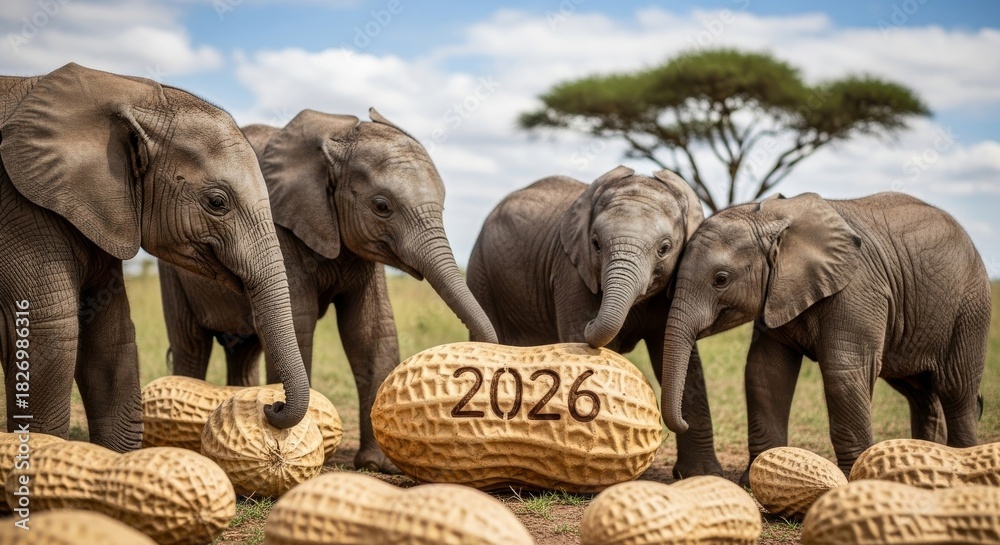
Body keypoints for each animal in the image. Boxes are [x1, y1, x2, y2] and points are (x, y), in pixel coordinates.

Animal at [0, 63, 309, 451]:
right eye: (217, 203)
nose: (273, 406)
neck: (130, 94)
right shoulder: (19, 209)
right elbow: (52, 330)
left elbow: (112, 332)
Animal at [159, 108, 497, 472]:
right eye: (382, 206)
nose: (272, 407)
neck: (336, 139)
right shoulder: (279, 229)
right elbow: (299, 324)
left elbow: (369, 331)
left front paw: (378, 465)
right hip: (173, 267)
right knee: (191, 344)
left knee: (244, 352)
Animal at [467, 165, 723, 478]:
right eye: (596, 244)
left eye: (665, 248)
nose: (593, 323)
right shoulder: (571, 271)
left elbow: (676, 358)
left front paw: (705, 475)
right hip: (481, 272)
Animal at [659, 191, 990, 483]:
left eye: (721, 280)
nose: (683, 422)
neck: (770, 218)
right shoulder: (776, 294)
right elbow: (765, 373)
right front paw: (754, 478)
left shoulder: (856, 290)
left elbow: (842, 374)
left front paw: (851, 480)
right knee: (920, 392)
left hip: (970, 306)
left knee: (956, 389)